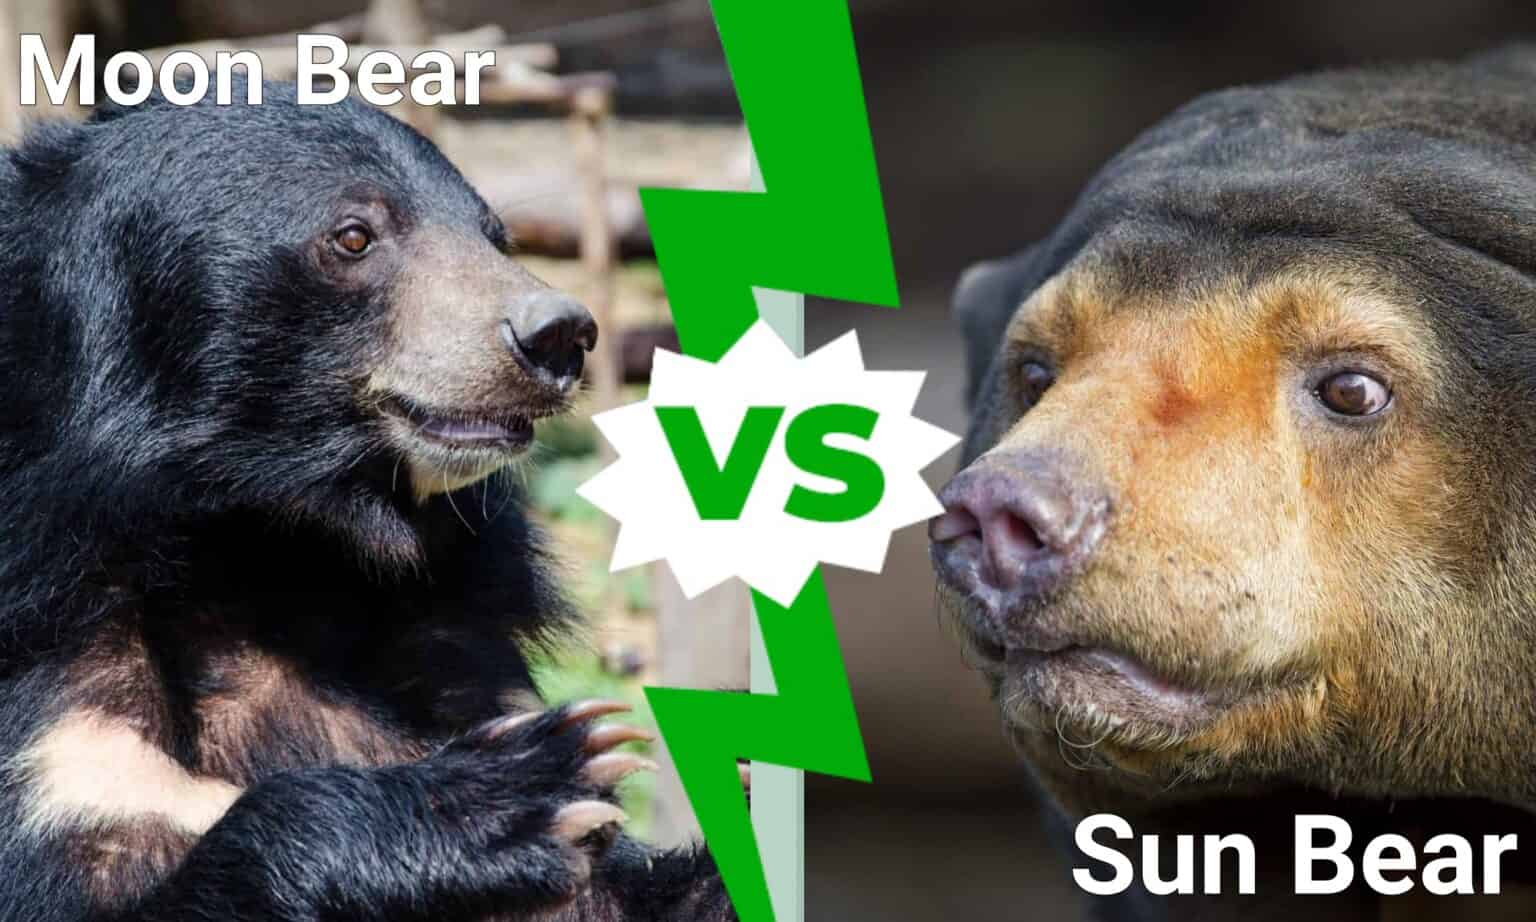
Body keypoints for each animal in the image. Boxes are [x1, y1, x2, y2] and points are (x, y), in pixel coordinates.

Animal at [0, 83, 730, 922]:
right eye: (354, 235)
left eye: (495, 237)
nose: (560, 335)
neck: (273, 543)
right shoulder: (59, 709)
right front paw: (515, 791)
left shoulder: (459, 654)